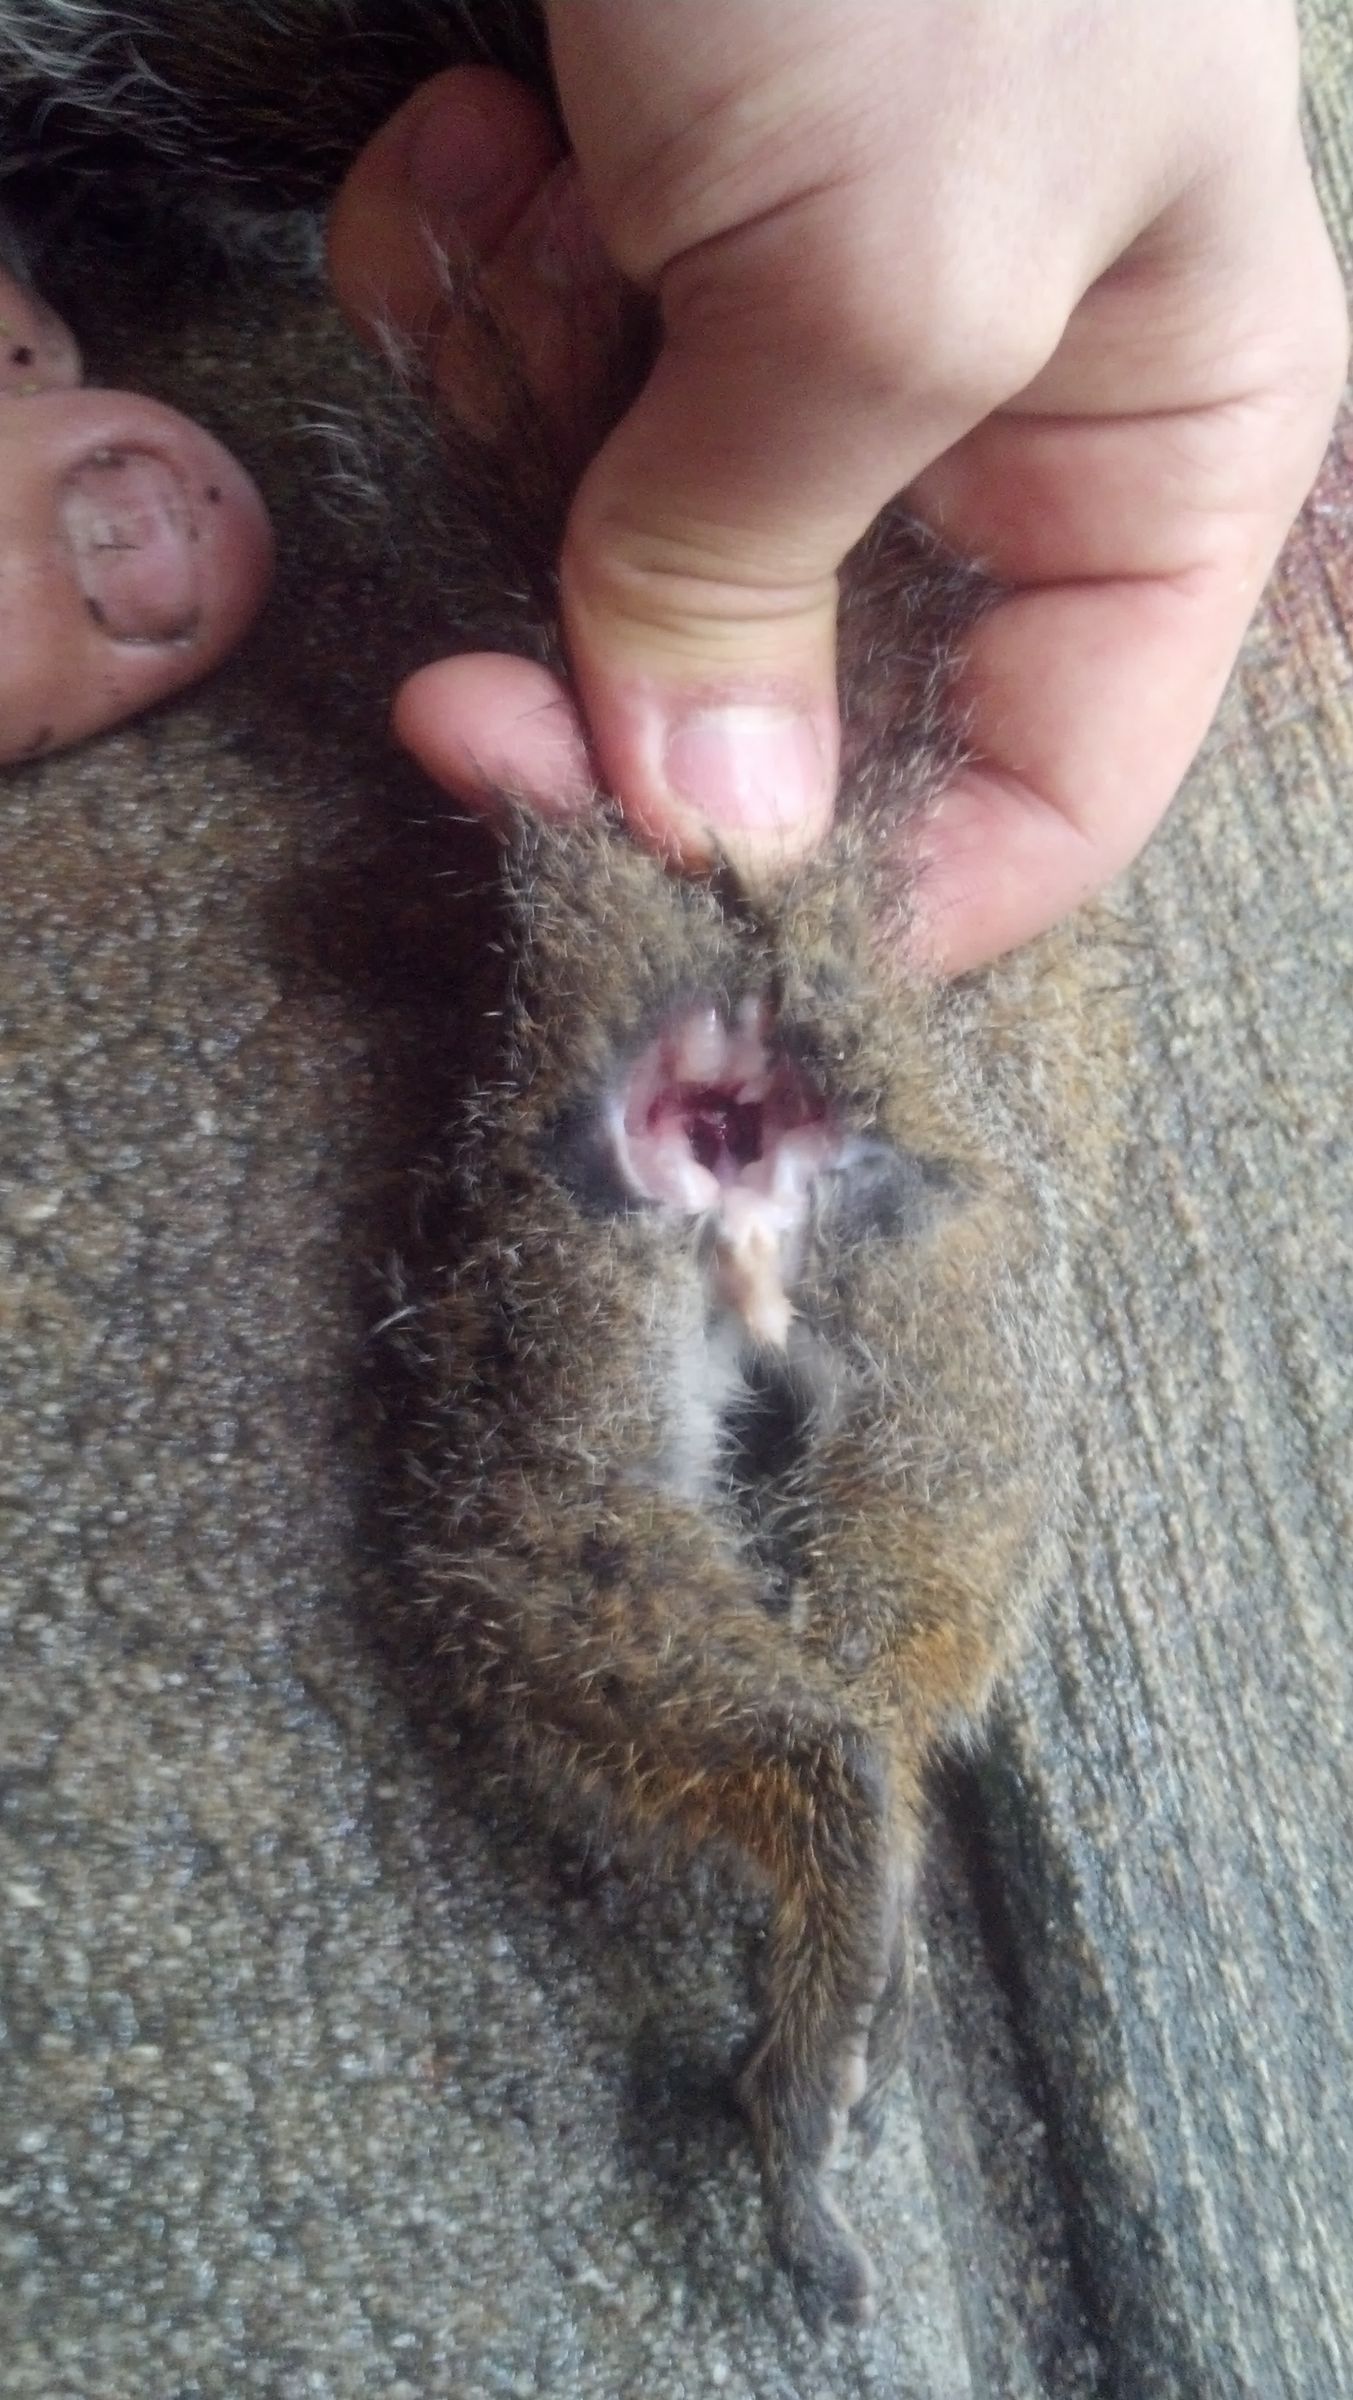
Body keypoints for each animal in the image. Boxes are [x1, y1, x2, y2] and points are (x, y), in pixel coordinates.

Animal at [0, 1, 1107, 2329]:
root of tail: (748, 960)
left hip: (620, 1408)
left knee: (744, 1682)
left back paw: (810, 2036)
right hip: (920, 1373)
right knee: (869, 1688)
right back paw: (841, 1991)